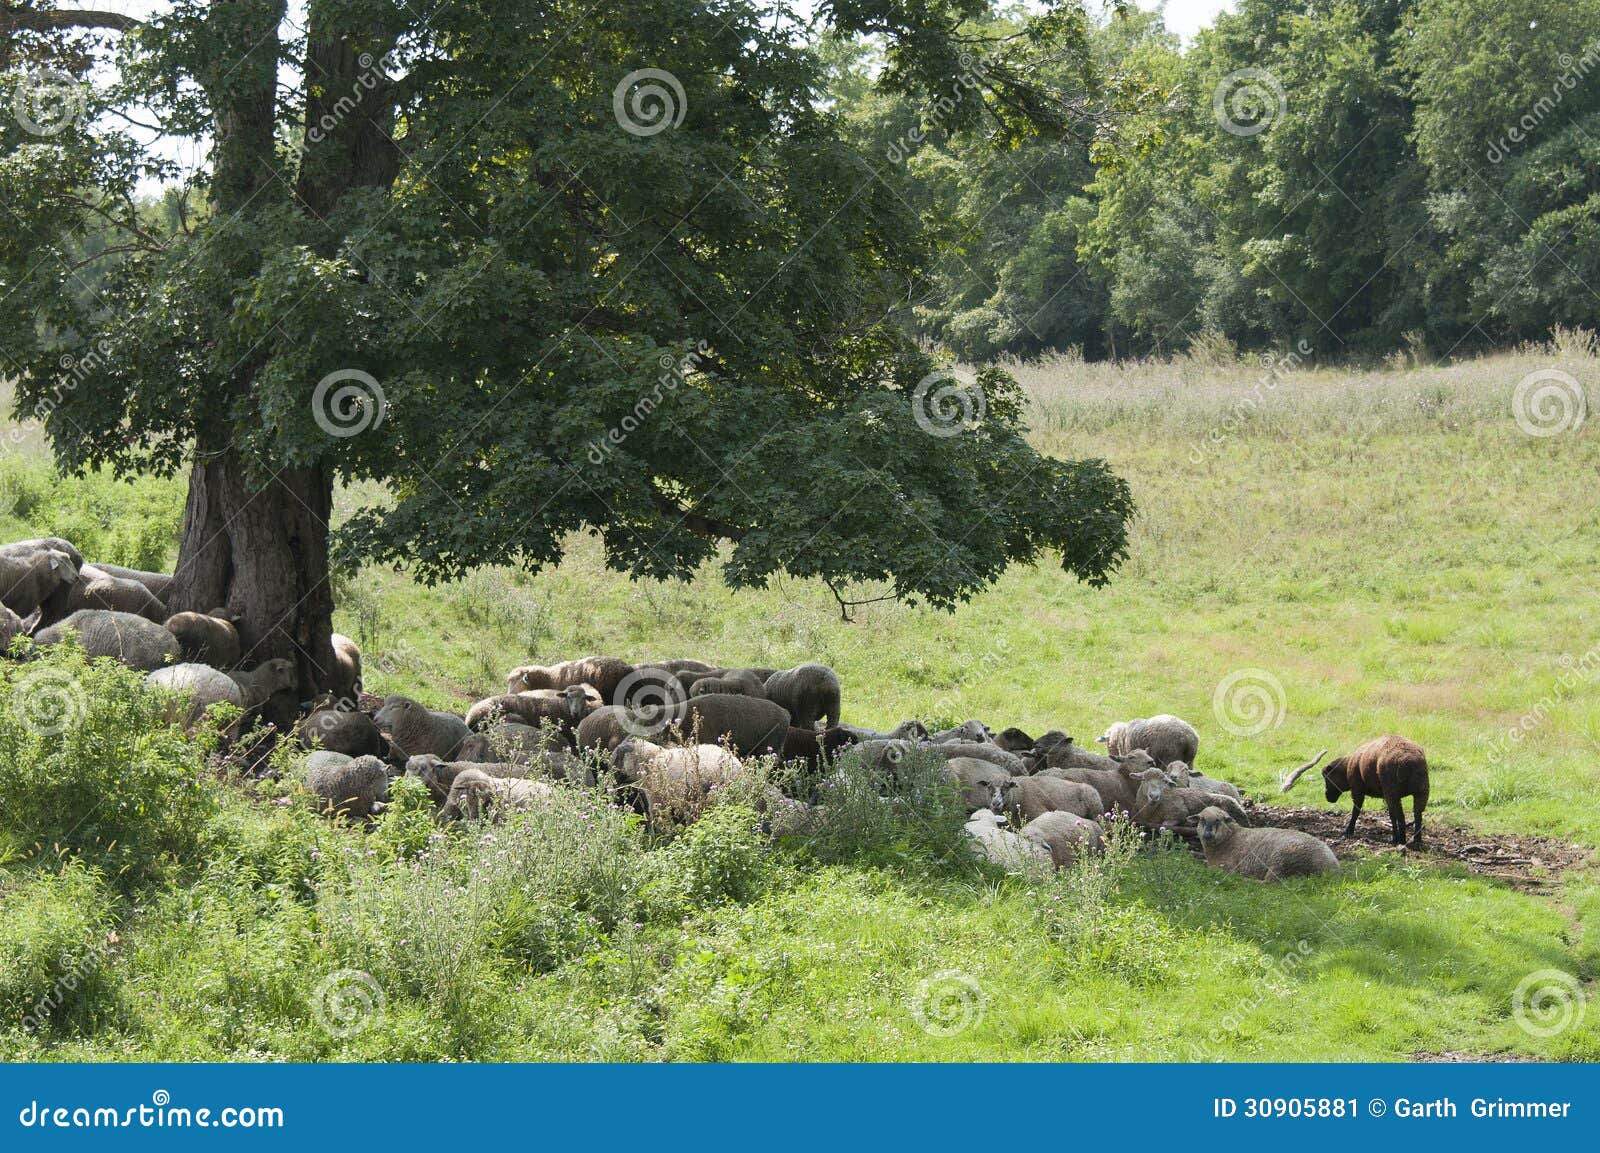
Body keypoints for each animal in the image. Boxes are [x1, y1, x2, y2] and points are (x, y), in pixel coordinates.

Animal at [1196, 806, 1338, 881]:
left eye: (1218, 821)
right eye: (1201, 820)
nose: (1207, 835)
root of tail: (1331, 867)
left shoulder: (1226, 865)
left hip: (1282, 860)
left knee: (1270, 883)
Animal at [1281, 737, 1429, 848]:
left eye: (1327, 778)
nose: (1327, 797)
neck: (1347, 767)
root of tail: (1409, 762)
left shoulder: (1358, 789)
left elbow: (1356, 811)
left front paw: (1348, 831)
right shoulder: (1385, 795)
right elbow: (1391, 816)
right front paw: (1394, 837)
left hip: (1393, 791)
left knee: (1402, 816)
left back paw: (1401, 840)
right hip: (1421, 790)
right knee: (1417, 815)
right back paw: (1416, 841)